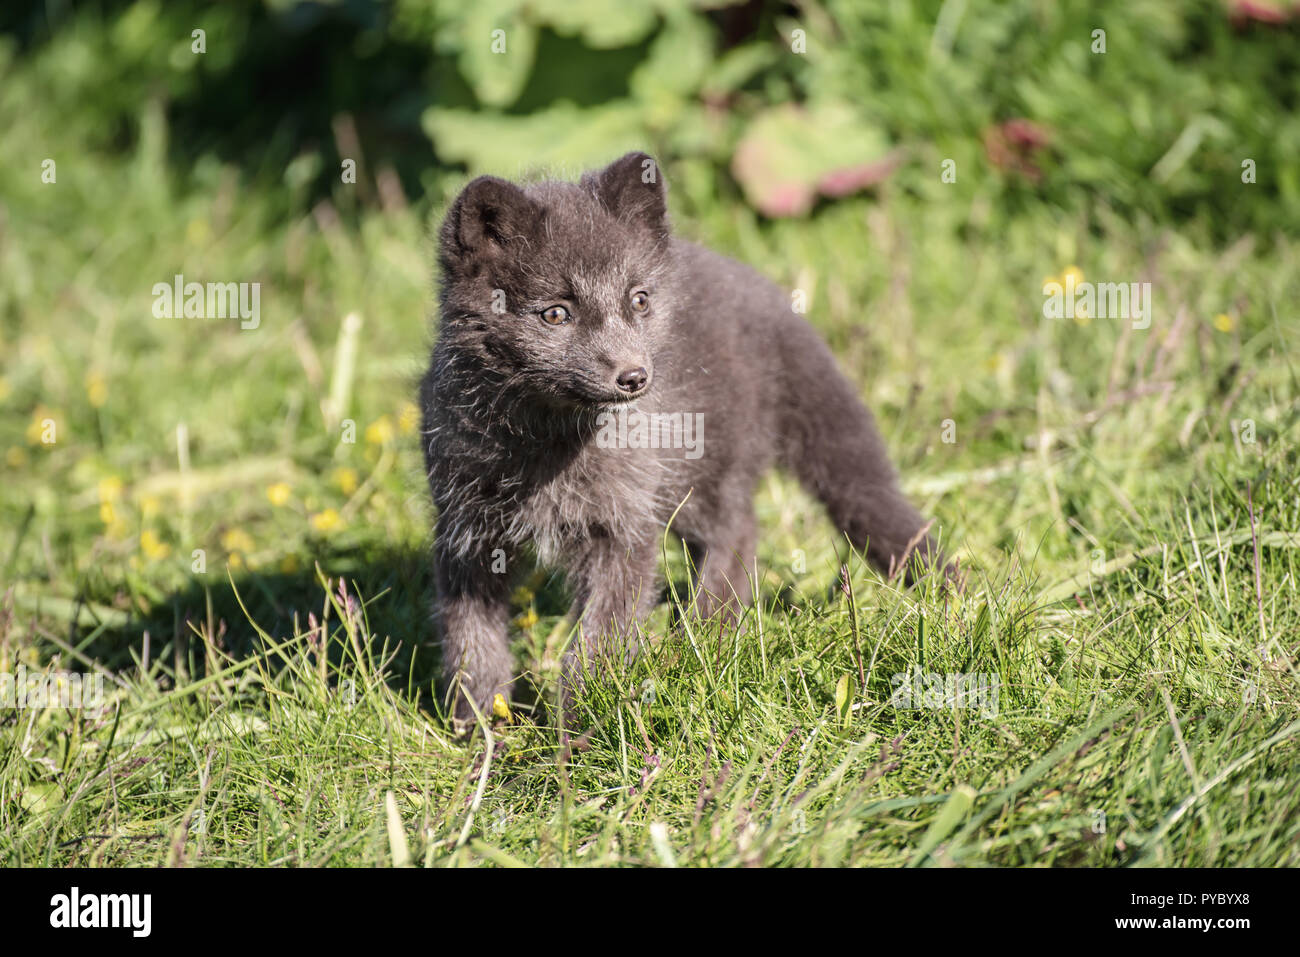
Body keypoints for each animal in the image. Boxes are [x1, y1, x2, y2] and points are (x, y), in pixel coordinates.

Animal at [420, 151, 949, 728]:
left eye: (638, 300)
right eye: (555, 313)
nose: (634, 377)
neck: (546, 443)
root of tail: (764, 289)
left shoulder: (624, 528)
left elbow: (598, 638)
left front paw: (580, 725)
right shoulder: (465, 534)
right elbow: (470, 638)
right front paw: (479, 726)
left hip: (708, 474)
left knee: (742, 534)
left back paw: (707, 634)